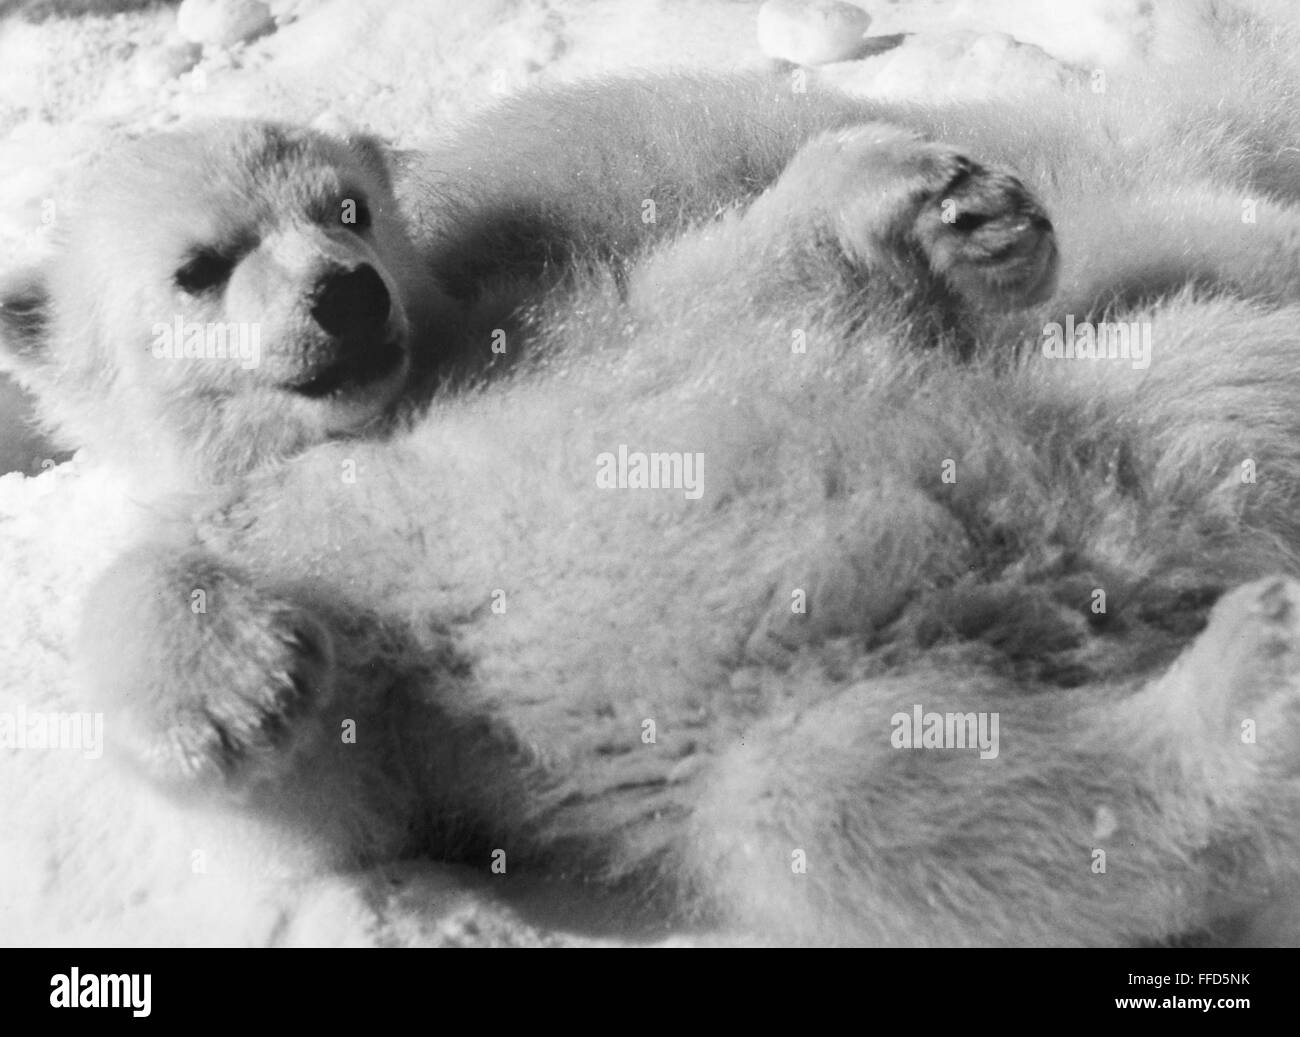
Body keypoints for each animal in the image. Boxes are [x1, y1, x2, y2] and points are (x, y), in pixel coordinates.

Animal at [6, 22, 1300, 943]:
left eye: (347, 208)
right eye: (197, 266)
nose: (347, 292)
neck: (375, 424)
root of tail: (1091, 593)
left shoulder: (556, 333)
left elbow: (740, 278)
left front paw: (950, 202)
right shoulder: (319, 575)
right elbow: (314, 795)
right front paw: (243, 696)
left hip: (1094, 415)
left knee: (1205, 382)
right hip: (844, 692)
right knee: (850, 808)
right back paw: (1256, 683)